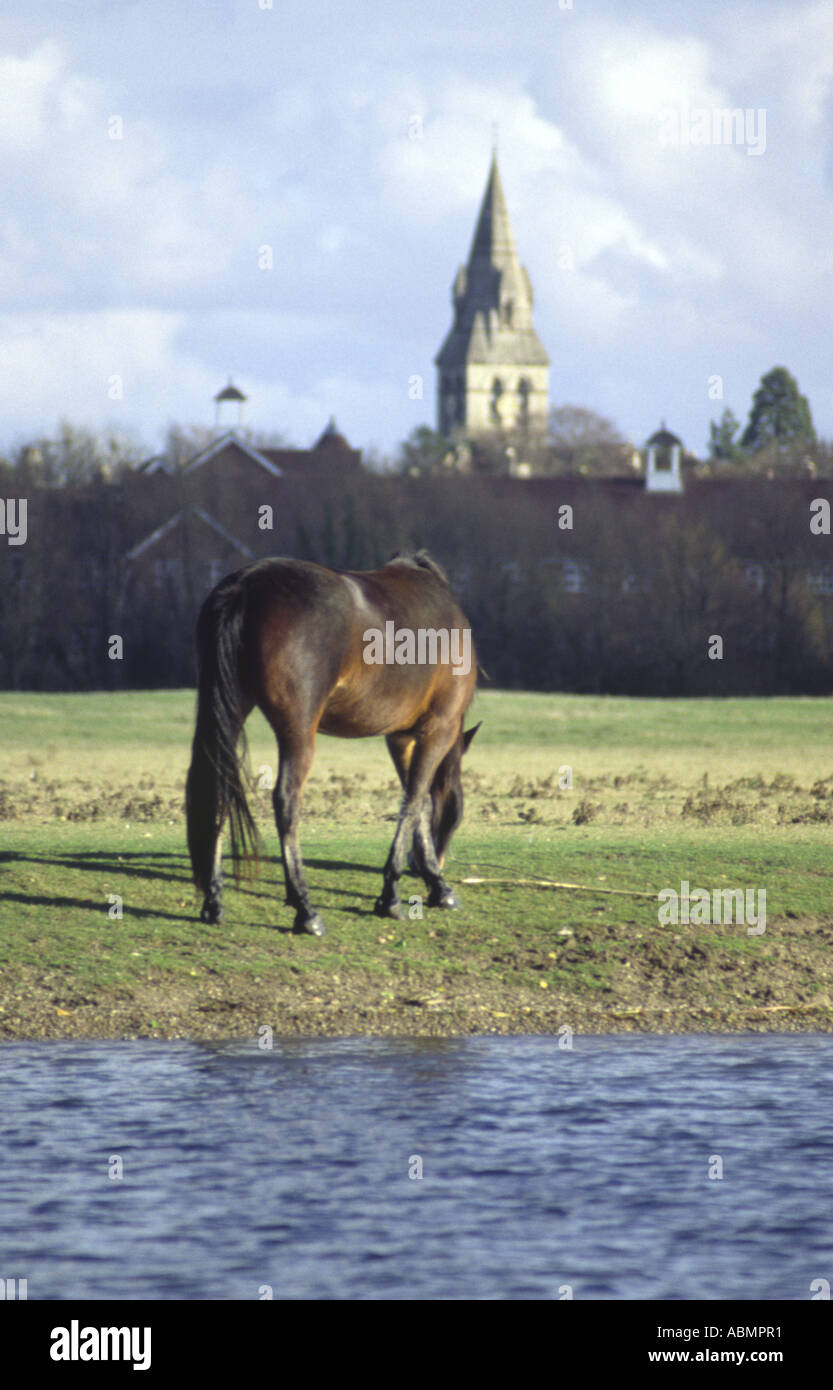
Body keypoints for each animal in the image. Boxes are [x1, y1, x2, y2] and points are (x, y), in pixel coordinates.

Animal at [185, 552, 480, 936]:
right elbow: (416, 800)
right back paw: (305, 908)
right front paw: (399, 893)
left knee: (219, 790)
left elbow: (419, 803)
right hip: (298, 731)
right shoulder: (437, 730)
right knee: (286, 801)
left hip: (231, 711)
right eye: (456, 816)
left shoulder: (400, 737)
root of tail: (248, 584)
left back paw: (214, 901)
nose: (428, 868)